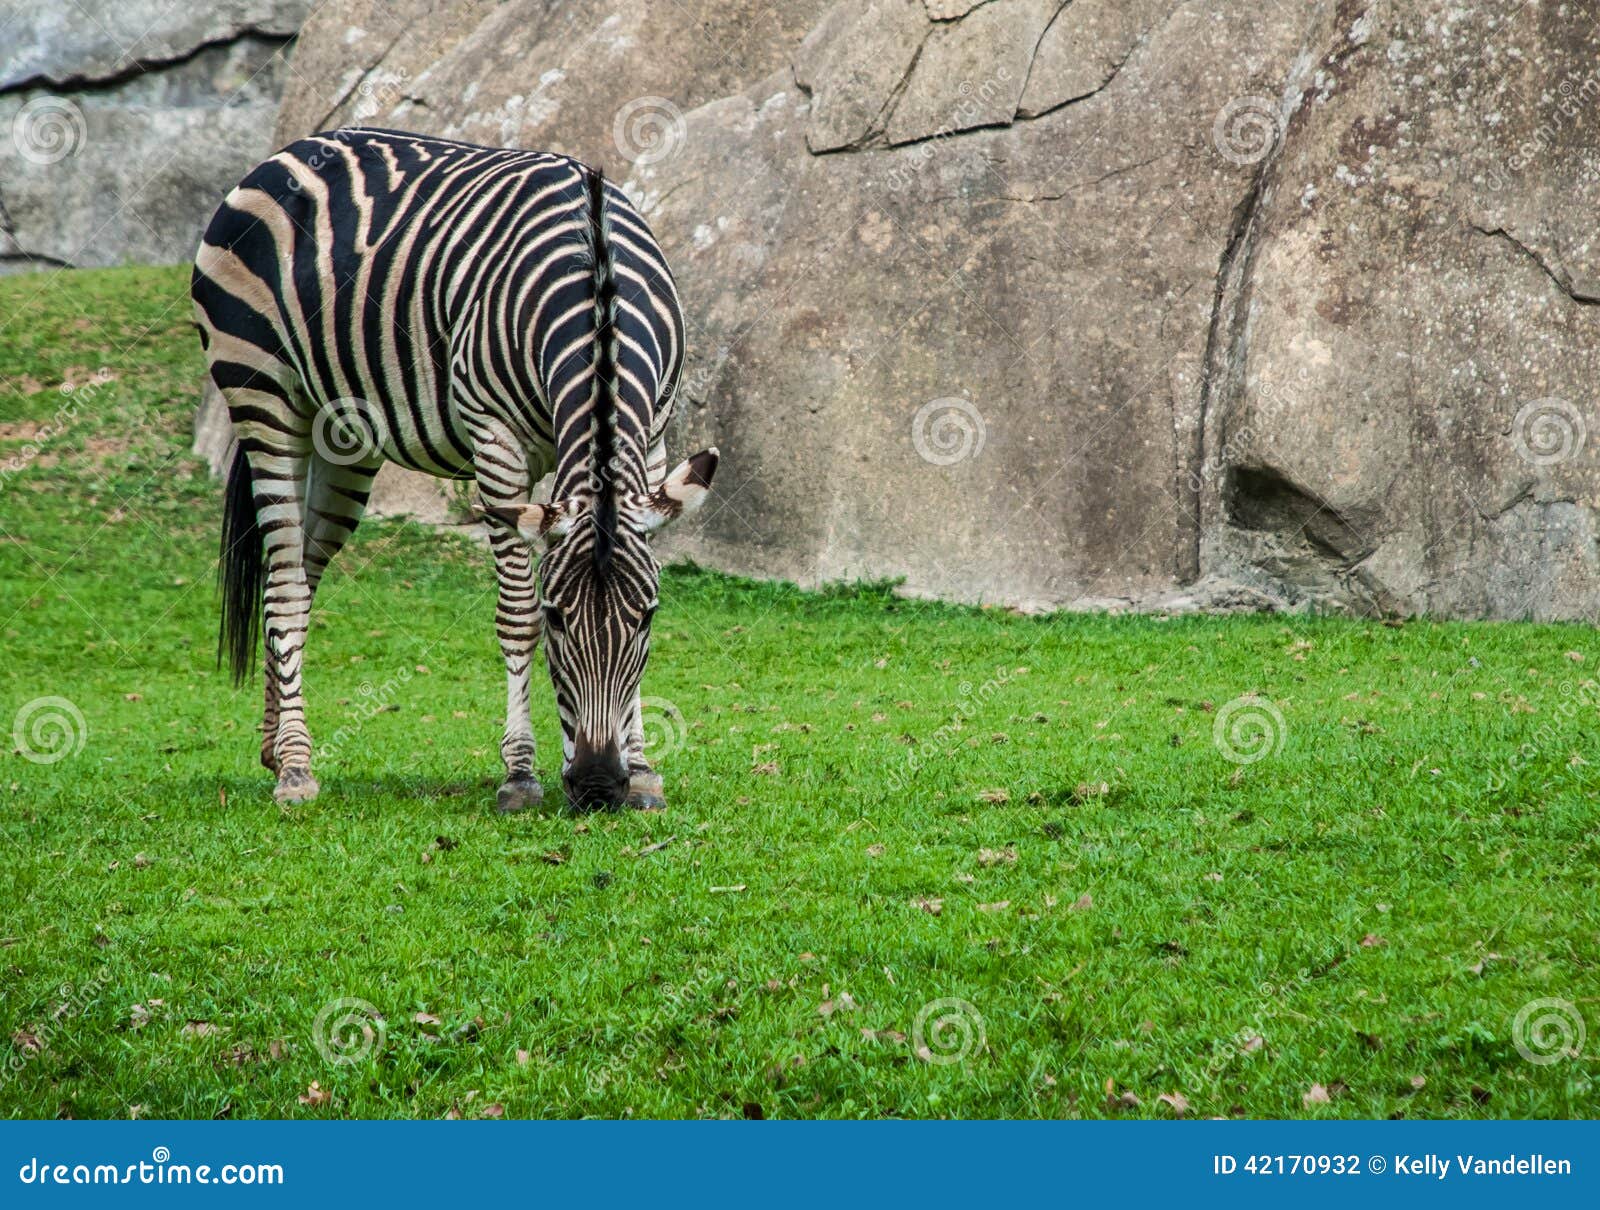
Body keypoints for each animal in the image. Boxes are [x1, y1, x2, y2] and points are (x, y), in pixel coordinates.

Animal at [191, 127, 719, 812]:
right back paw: (297, 770)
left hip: (340, 438)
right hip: (262, 395)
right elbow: (515, 614)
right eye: (557, 617)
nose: (600, 786)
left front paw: (646, 770)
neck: (595, 285)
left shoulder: (651, 439)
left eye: (647, 617)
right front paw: (519, 775)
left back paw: (275, 746)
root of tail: (293, 148)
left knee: (302, 579)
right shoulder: (496, 440)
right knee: (281, 584)